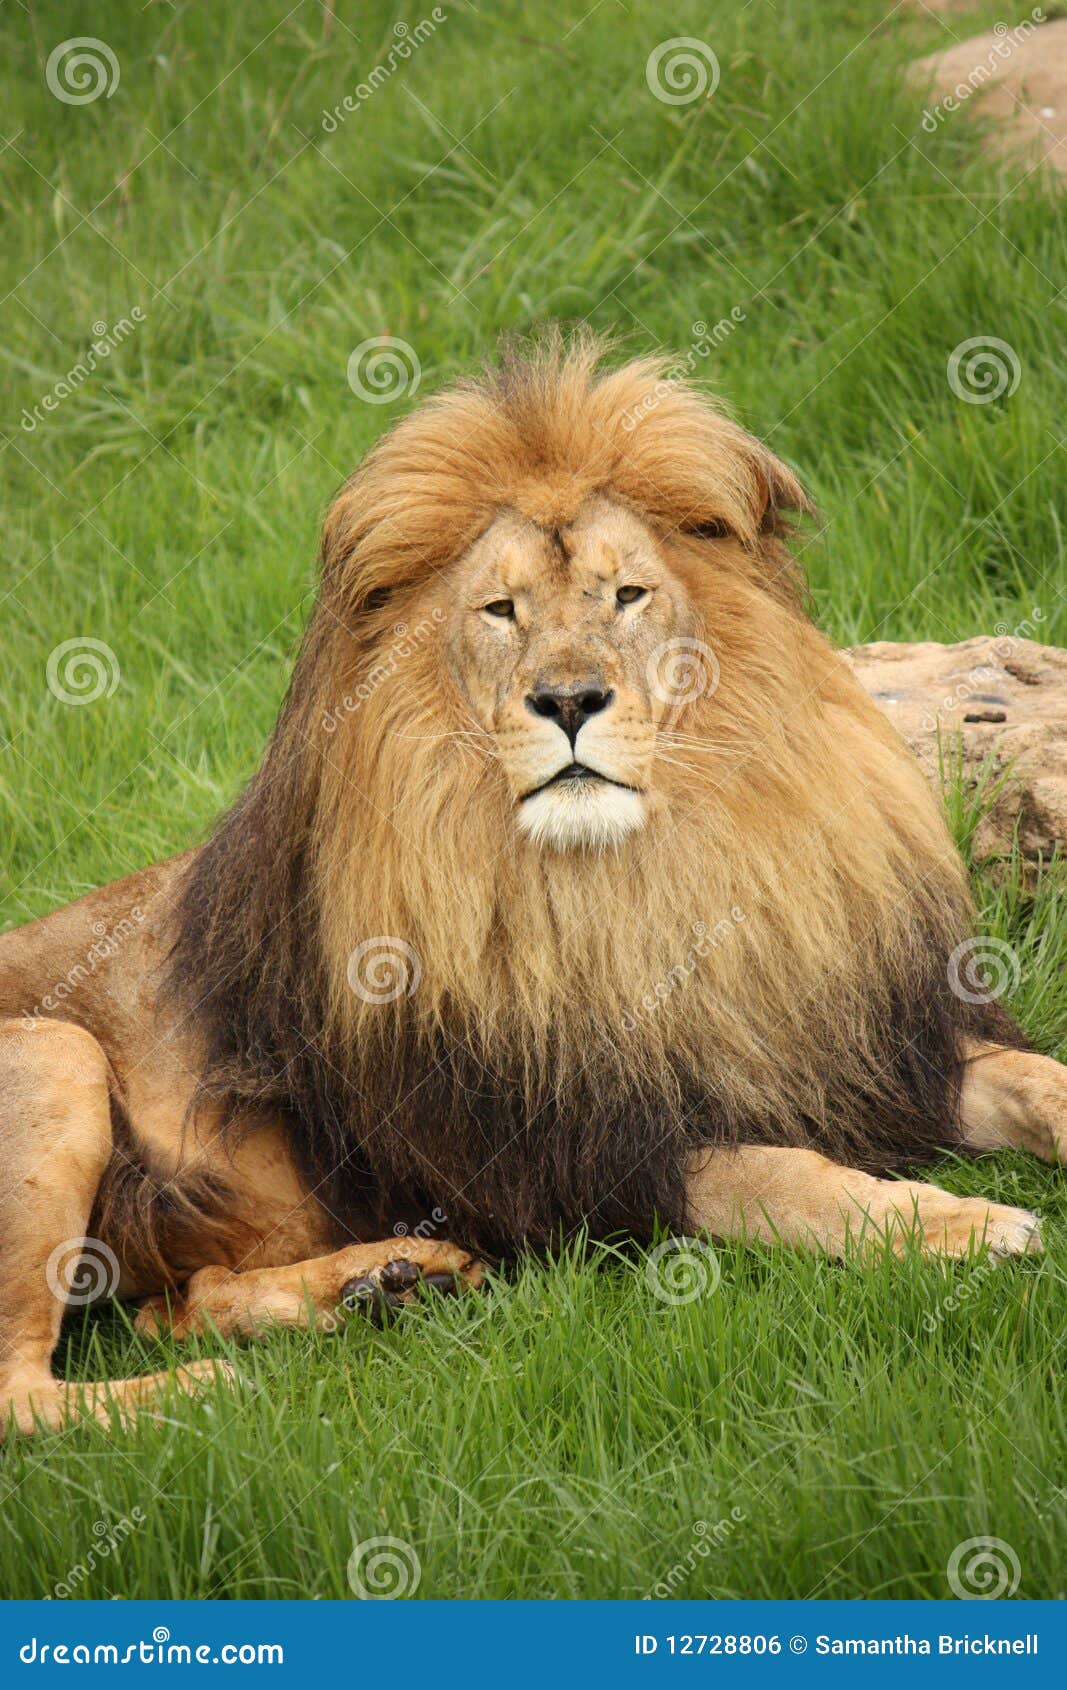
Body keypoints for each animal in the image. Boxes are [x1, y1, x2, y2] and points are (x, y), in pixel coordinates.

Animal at [2, 332, 1064, 1438]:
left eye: (626, 595)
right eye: (499, 611)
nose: (567, 699)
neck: (636, 881)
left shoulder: (869, 1046)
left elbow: (1034, 1079)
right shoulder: (563, 1159)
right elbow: (786, 1177)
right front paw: (965, 1223)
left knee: (179, 1301)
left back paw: (385, 1283)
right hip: (53, 1051)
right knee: (29, 1393)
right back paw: (211, 1393)